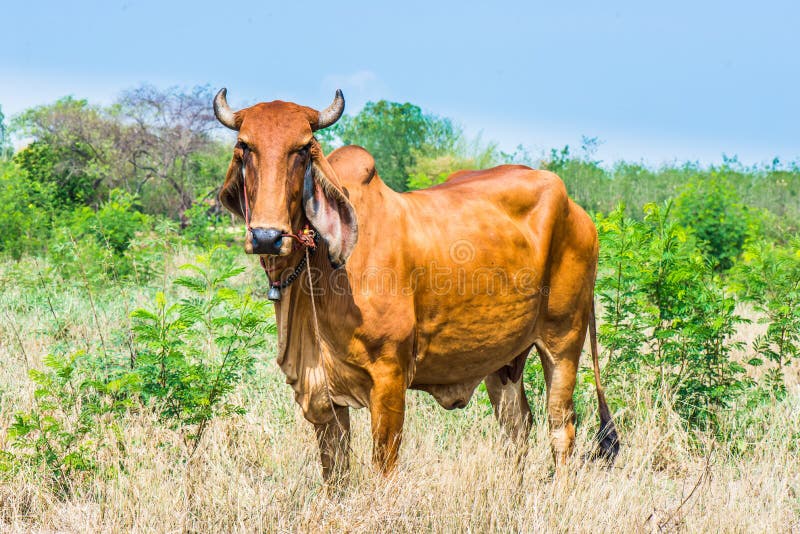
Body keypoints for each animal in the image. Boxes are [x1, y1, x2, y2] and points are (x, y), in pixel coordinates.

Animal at [212, 88, 619, 481]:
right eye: (244, 146)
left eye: (302, 149)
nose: (266, 236)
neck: (319, 271)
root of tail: (579, 213)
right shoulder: (323, 397)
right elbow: (336, 475)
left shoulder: (389, 377)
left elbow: (384, 466)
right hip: (503, 360)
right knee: (517, 427)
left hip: (563, 340)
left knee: (560, 427)